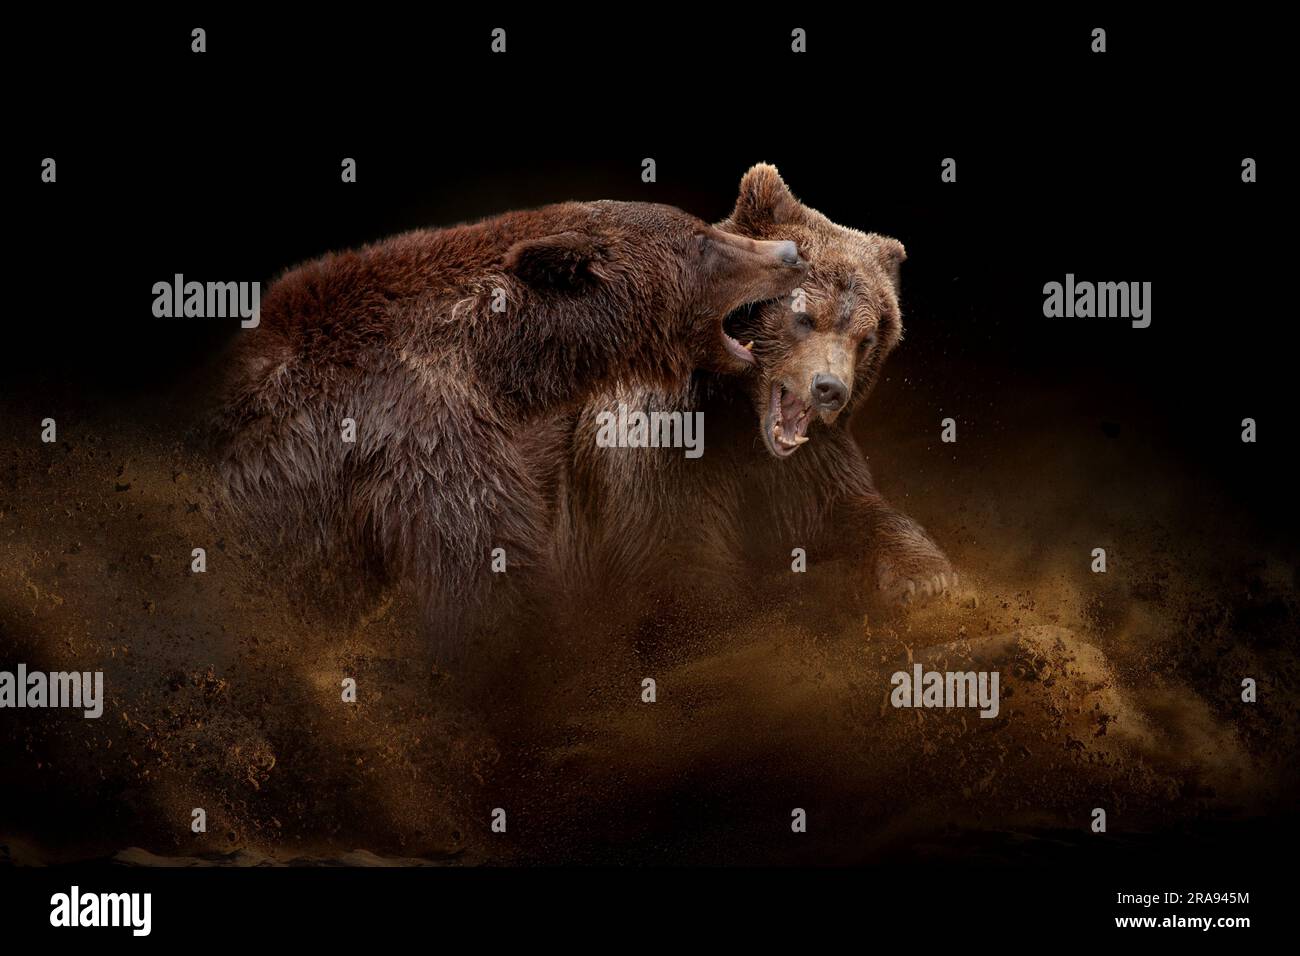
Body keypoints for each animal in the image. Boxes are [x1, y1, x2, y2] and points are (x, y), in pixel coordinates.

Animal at [557, 164, 955, 633]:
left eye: (866, 338)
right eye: (804, 316)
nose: (830, 388)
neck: (741, 422)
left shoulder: (809, 470)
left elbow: (861, 511)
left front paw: (928, 581)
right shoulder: (662, 468)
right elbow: (683, 570)